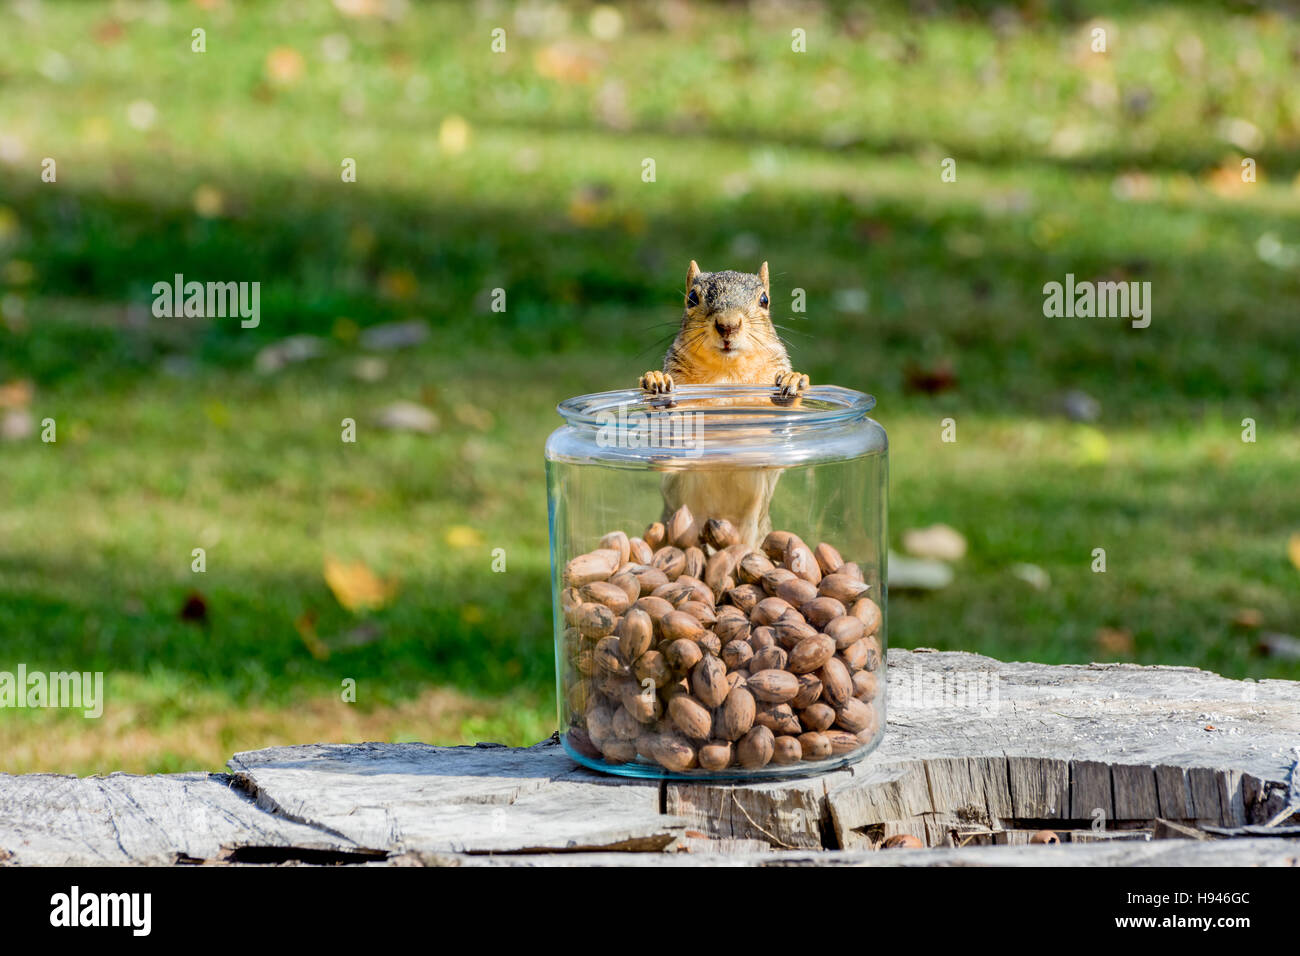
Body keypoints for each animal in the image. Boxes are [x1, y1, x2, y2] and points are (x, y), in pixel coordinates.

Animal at [638, 260, 810, 548]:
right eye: (692, 297)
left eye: (764, 300)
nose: (728, 325)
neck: (727, 372)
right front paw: (656, 381)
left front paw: (792, 380)